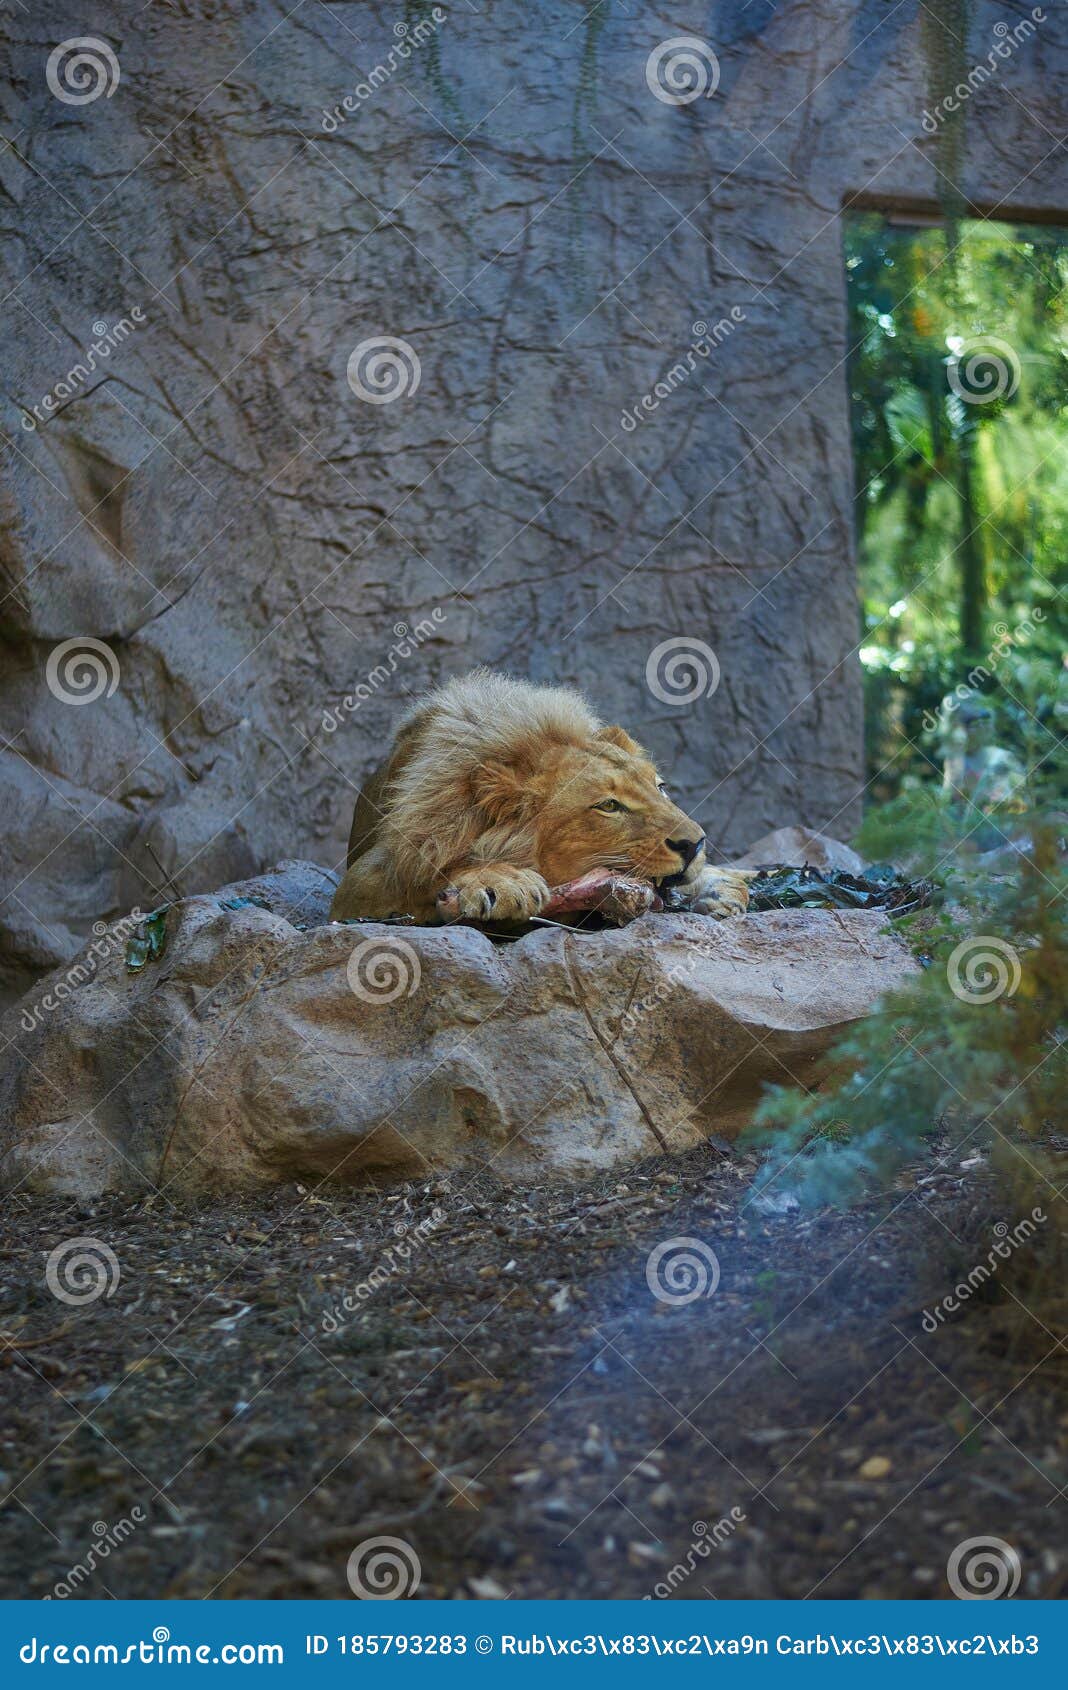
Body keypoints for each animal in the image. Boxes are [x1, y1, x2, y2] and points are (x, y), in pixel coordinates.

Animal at [329, 669, 750, 926]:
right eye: (608, 806)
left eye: (659, 787)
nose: (695, 844)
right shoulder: (362, 881)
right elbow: (429, 871)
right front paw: (502, 882)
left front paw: (721, 888)